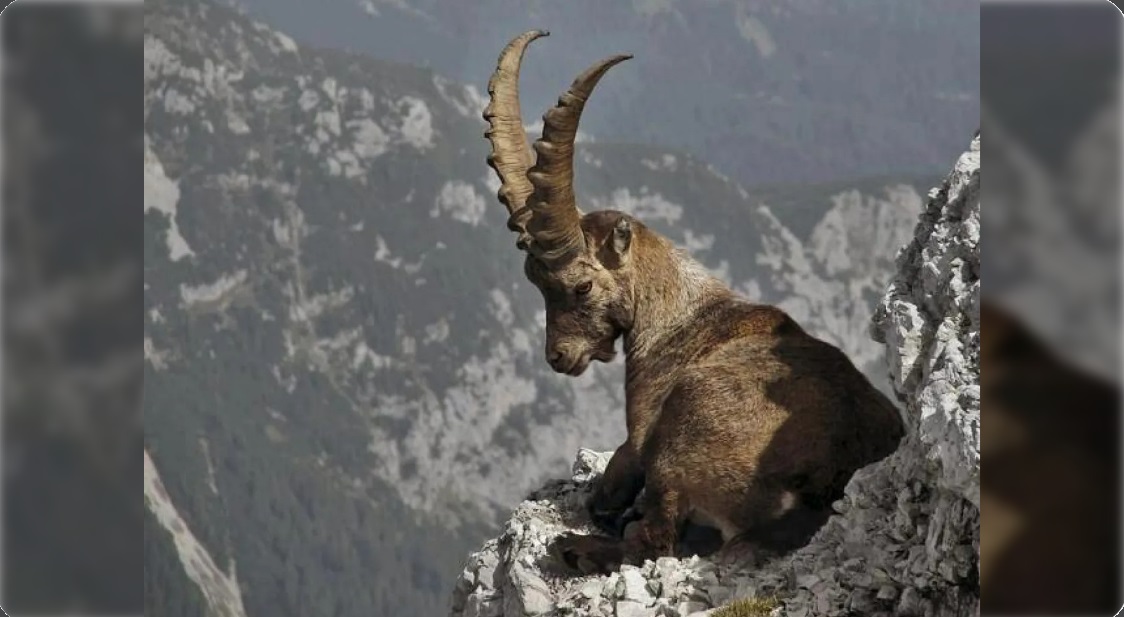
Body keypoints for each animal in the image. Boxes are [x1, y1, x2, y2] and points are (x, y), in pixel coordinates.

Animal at [482, 30, 906, 574]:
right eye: (533, 281)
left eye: (582, 286)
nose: (559, 356)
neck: (680, 317)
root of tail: (815, 487)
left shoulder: (641, 435)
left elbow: (608, 492)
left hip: (680, 442)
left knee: (654, 539)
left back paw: (575, 547)